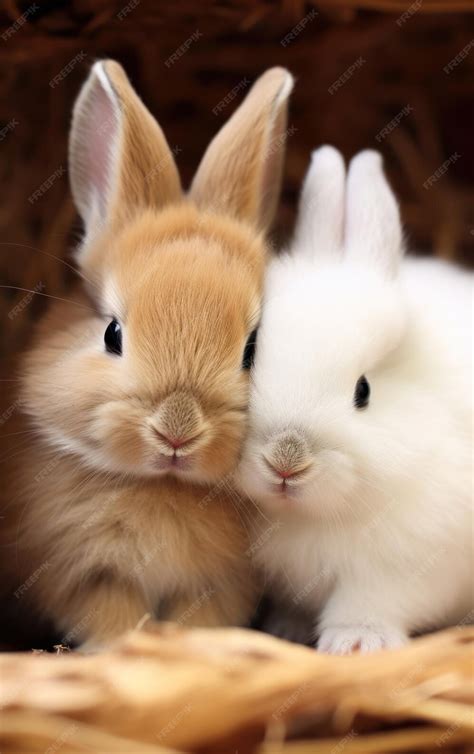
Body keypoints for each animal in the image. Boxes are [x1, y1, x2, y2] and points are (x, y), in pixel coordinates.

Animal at [0, 60, 293, 649]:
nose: (177, 430)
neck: (163, 486)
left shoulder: (218, 585)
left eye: (254, 348)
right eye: (112, 333)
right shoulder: (87, 577)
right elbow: (113, 616)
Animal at [238, 146, 473, 654]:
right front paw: (286, 628)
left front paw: (357, 644)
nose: (286, 460)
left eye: (363, 392)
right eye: (250, 355)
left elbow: (367, 604)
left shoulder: (399, 572)